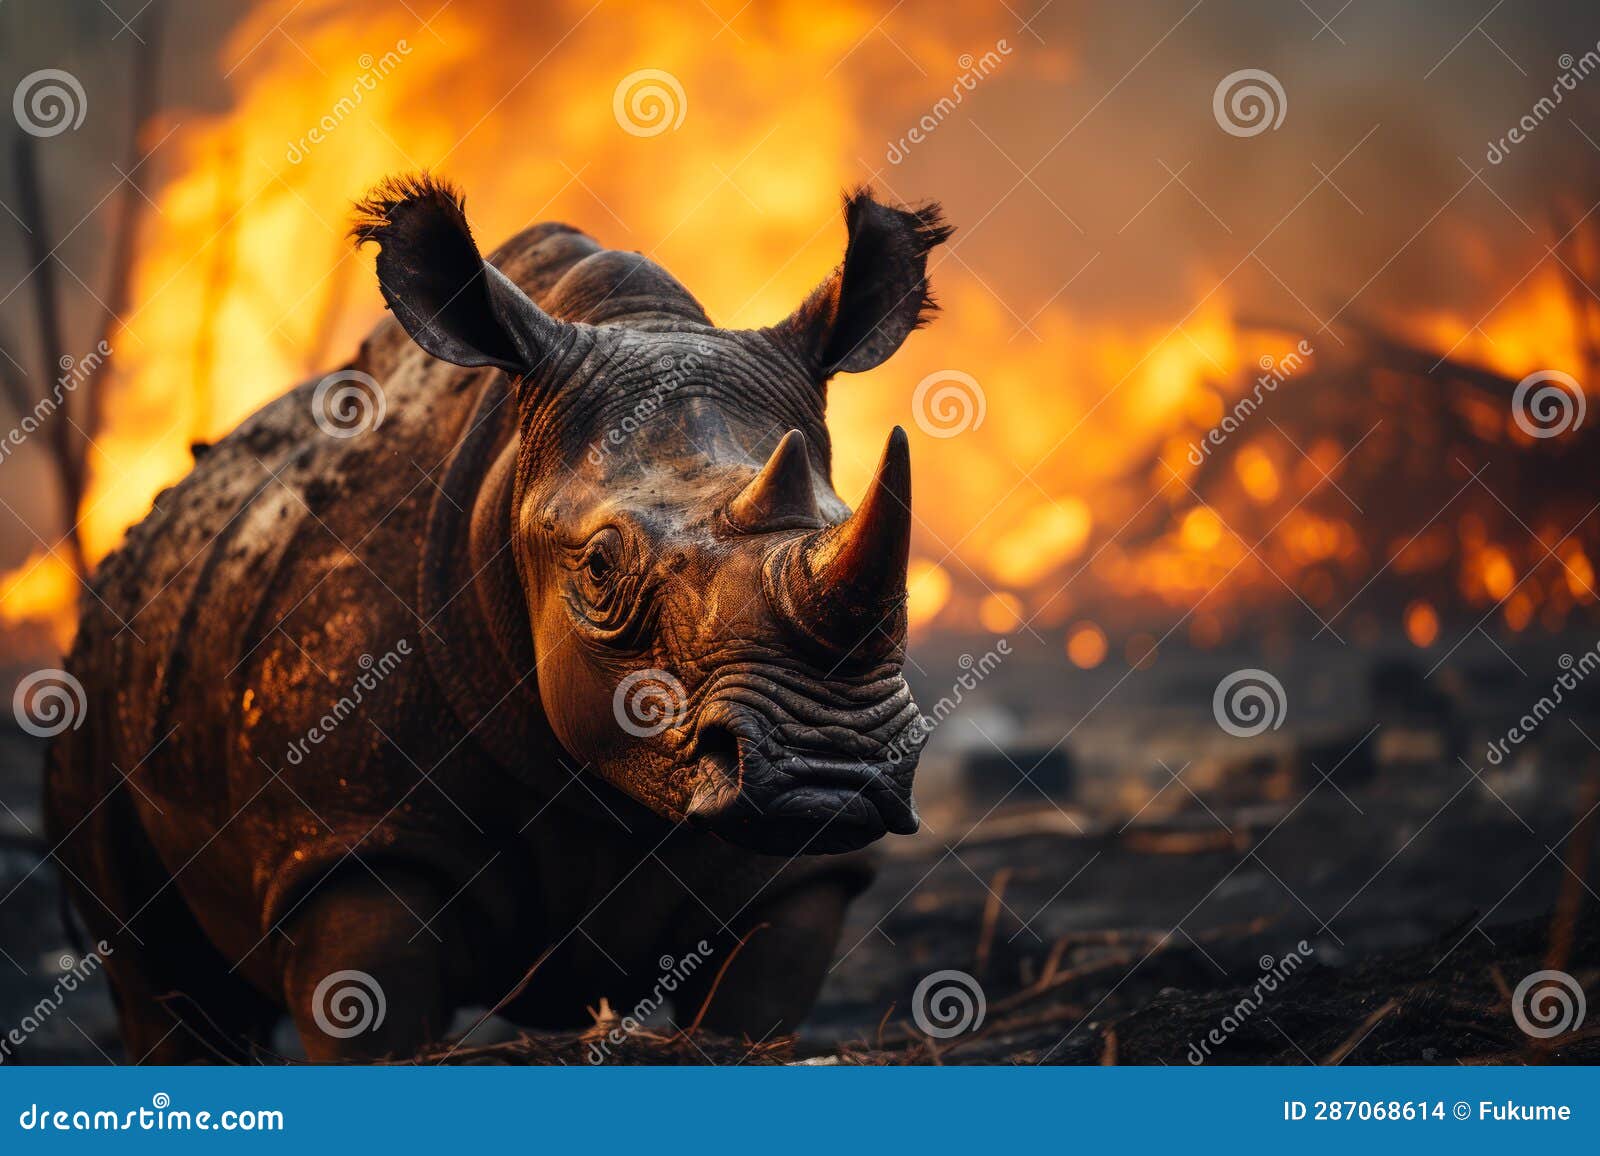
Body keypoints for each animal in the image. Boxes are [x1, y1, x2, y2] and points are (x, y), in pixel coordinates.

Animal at [45, 174, 950, 1061]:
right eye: (600, 568)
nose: (828, 768)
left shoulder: (793, 878)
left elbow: (757, 1009)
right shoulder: (353, 841)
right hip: (96, 670)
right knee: (159, 982)